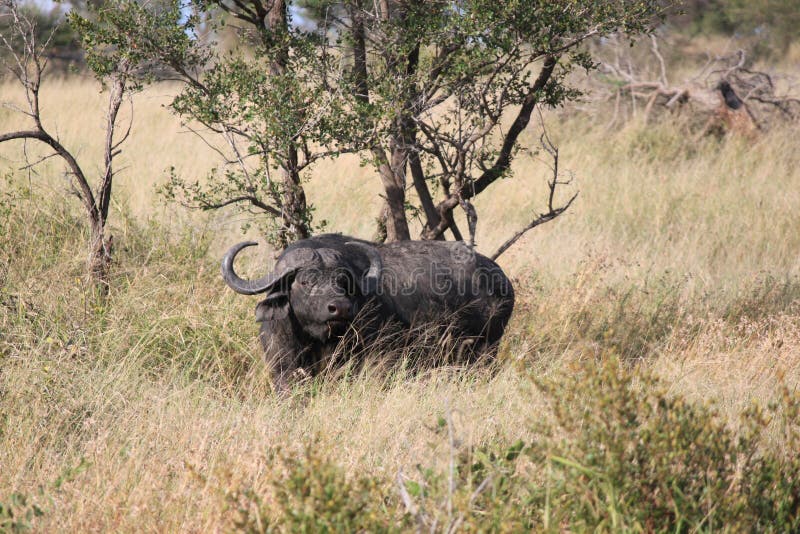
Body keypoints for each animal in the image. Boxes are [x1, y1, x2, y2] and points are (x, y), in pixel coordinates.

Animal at [221, 234, 514, 390]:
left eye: (343, 281)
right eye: (305, 281)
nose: (339, 307)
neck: (318, 340)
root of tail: (499, 277)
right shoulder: (283, 366)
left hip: (485, 349)